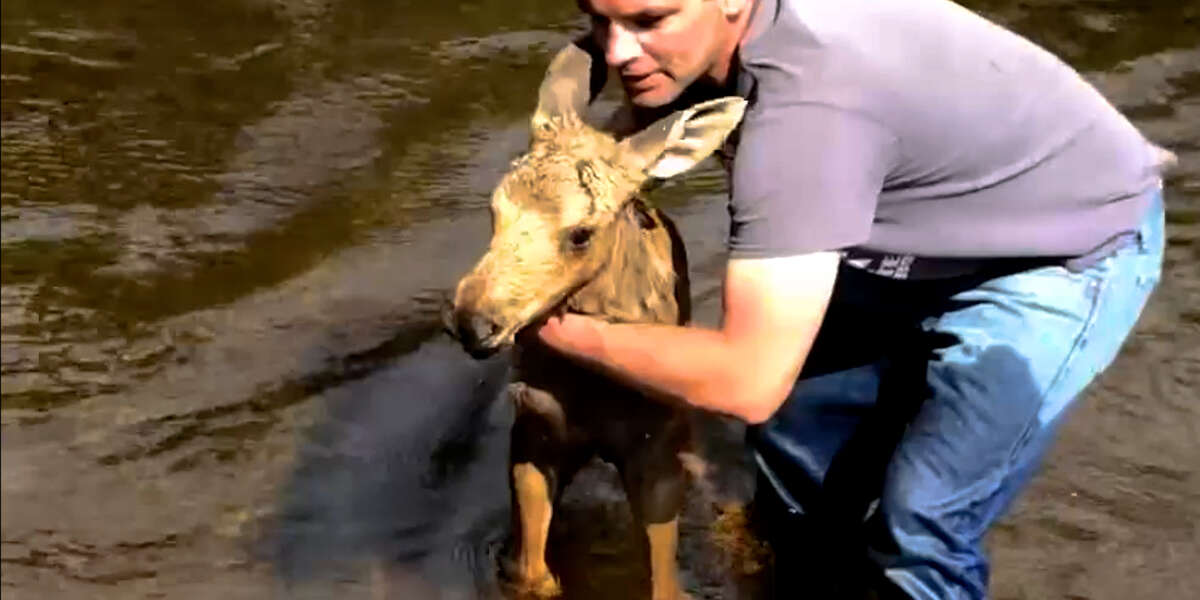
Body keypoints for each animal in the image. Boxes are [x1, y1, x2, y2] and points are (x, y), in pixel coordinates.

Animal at [449, 42, 746, 600]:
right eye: (494, 210)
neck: (592, 396)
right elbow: (530, 573)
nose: (472, 321)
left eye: (581, 233)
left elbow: (665, 584)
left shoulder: (655, 448)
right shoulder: (535, 426)